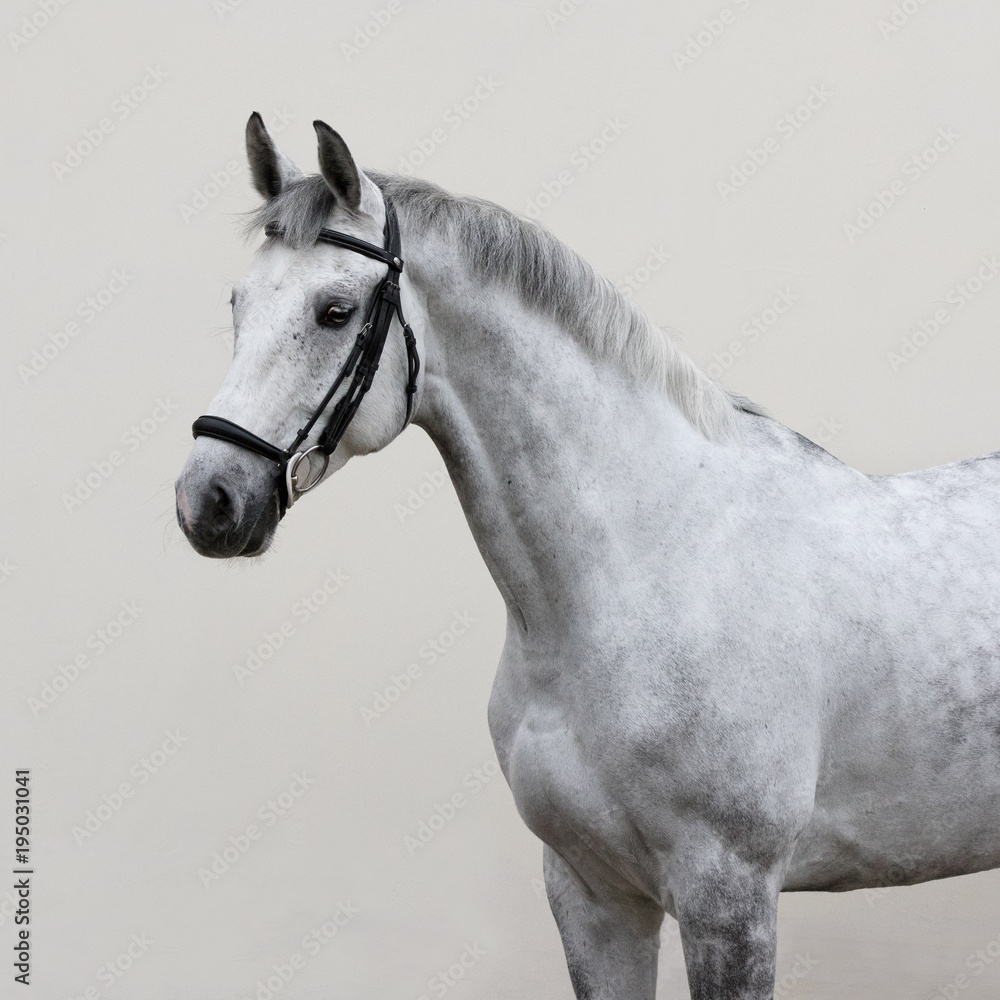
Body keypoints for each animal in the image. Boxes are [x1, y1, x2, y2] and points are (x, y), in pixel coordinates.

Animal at [175, 114, 1000, 999]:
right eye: (237, 303)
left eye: (334, 310)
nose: (208, 502)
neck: (637, 571)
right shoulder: (589, 890)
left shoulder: (729, 894)